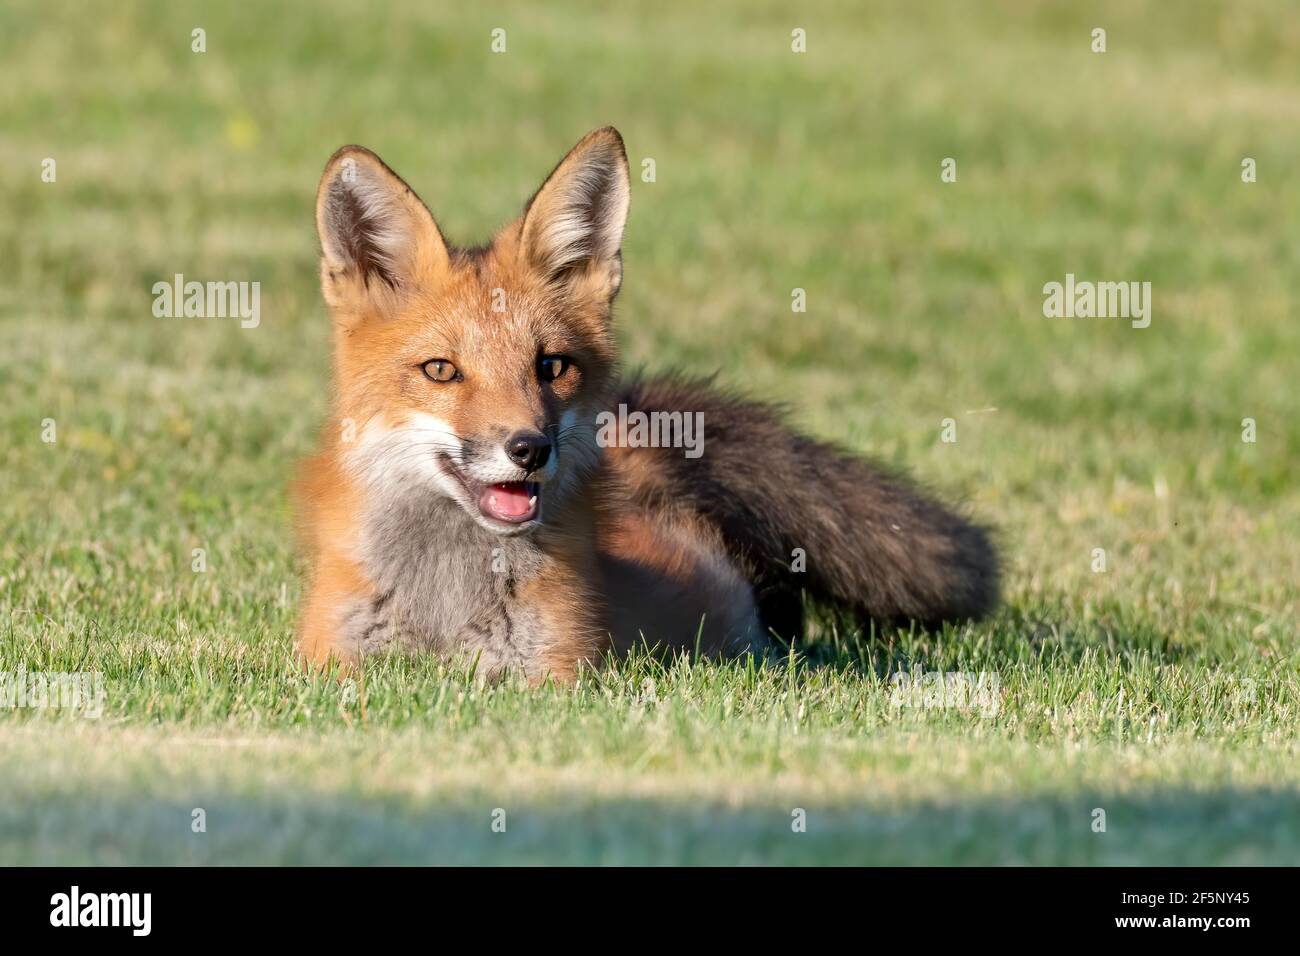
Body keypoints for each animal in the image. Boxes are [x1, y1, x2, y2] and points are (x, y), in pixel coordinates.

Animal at [295, 126, 999, 683]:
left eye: (551, 366)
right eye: (441, 371)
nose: (530, 449)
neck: (444, 607)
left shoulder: (557, 674)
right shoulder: (331, 664)